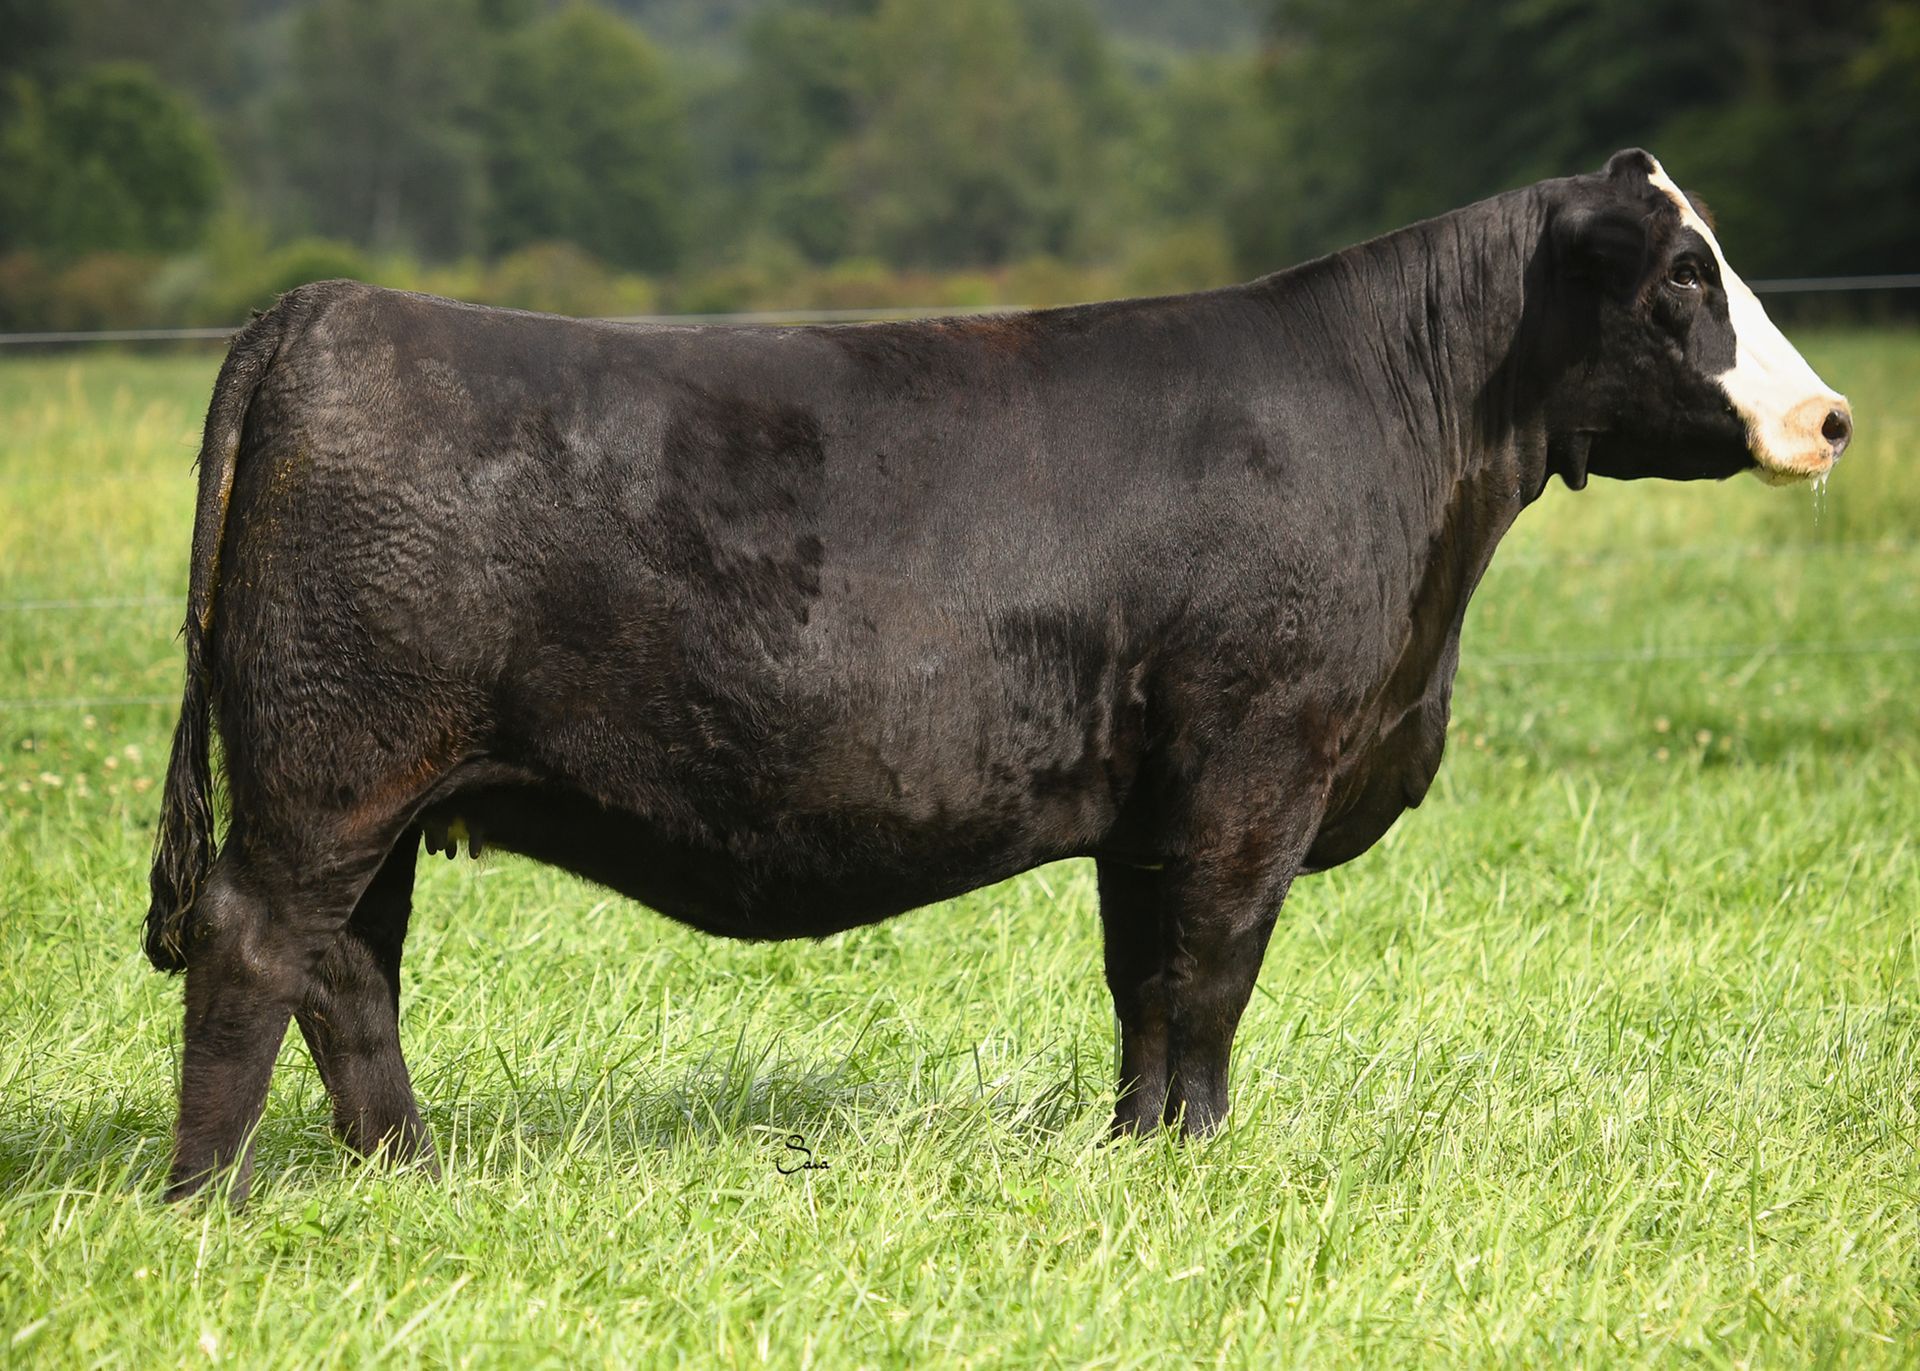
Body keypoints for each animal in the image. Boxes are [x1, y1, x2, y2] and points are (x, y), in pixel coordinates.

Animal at [146, 150, 1851, 1201]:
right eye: (1681, 280)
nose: (1831, 417)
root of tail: (326, 305)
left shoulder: (1150, 802)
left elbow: (1144, 985)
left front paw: (1138, 1151)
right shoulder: (1253, 764)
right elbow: (1208, 974)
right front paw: (1196, 1164)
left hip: (373, 784)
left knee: (349, 971)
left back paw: (406, 1170)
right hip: (329, 771)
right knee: (256, 944)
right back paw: (208, 1197)